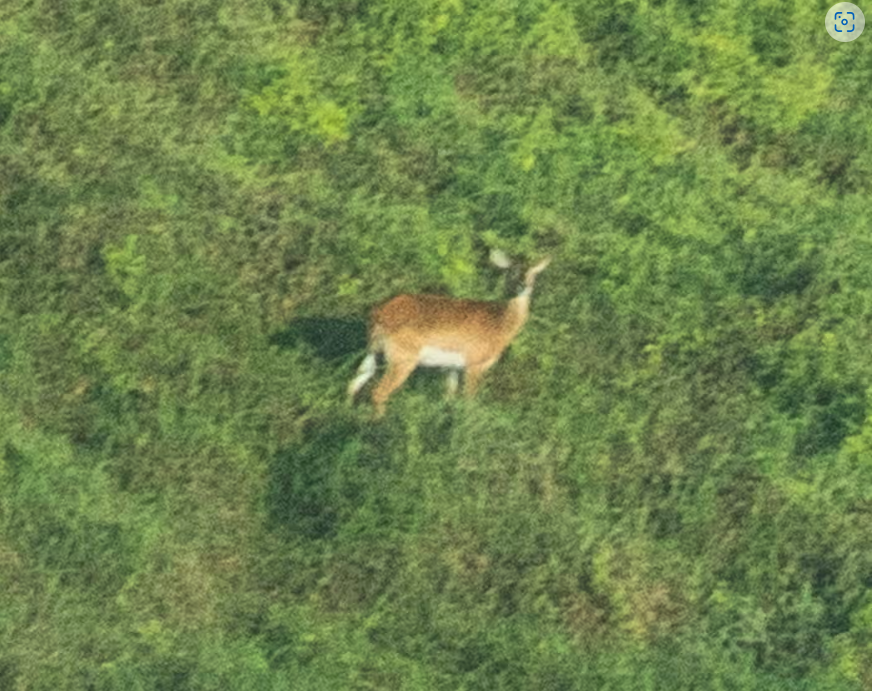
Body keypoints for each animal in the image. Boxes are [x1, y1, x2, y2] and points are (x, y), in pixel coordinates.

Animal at [348, 257, 550, 417]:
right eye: (512, 271)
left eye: (534, 273)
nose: (523, 286)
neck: (499, 324)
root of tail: (378, 313)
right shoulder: (474, 365)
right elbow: (469, 401)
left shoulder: (452, 367)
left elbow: (448, 398)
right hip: (402, 359)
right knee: (378, 392)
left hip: (374, 352)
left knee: (353, 384)